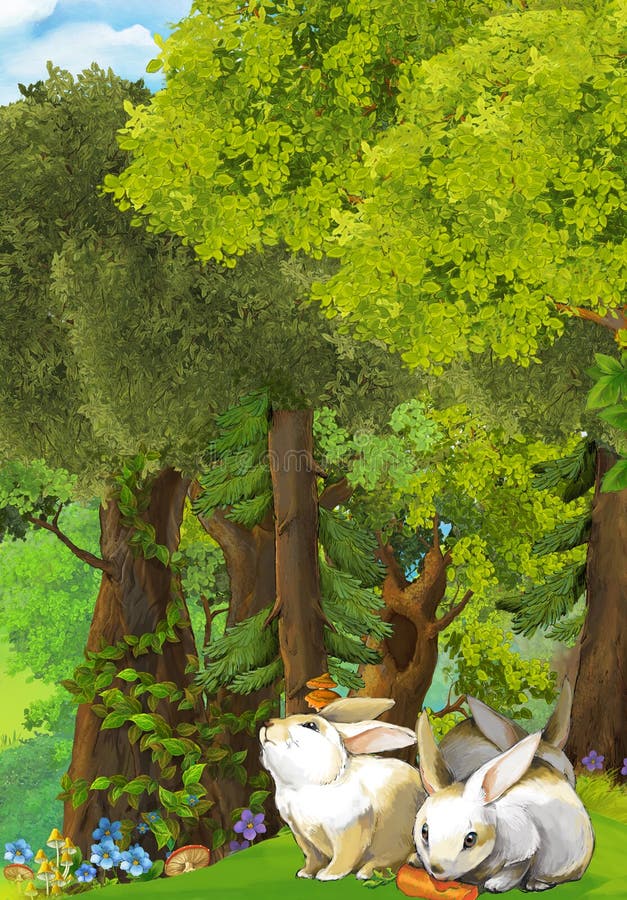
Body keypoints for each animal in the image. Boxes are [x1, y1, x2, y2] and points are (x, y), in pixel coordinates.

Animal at [259, 696, 427, 881]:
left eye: (310, 725)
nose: (268, 723)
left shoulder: (350, 829)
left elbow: (344, 856)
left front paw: (327, 875)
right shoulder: (302, 836)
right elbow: (312, 857)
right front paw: (306, 873)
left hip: (399, 837)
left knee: (394, 858)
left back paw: (369, 872)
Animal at [413, 711, 594, 893]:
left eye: (470, 840)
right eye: (424, 831)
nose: (438, 872)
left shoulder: (527, 845)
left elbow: (519, 867)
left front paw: (496, 884)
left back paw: (536, 884)